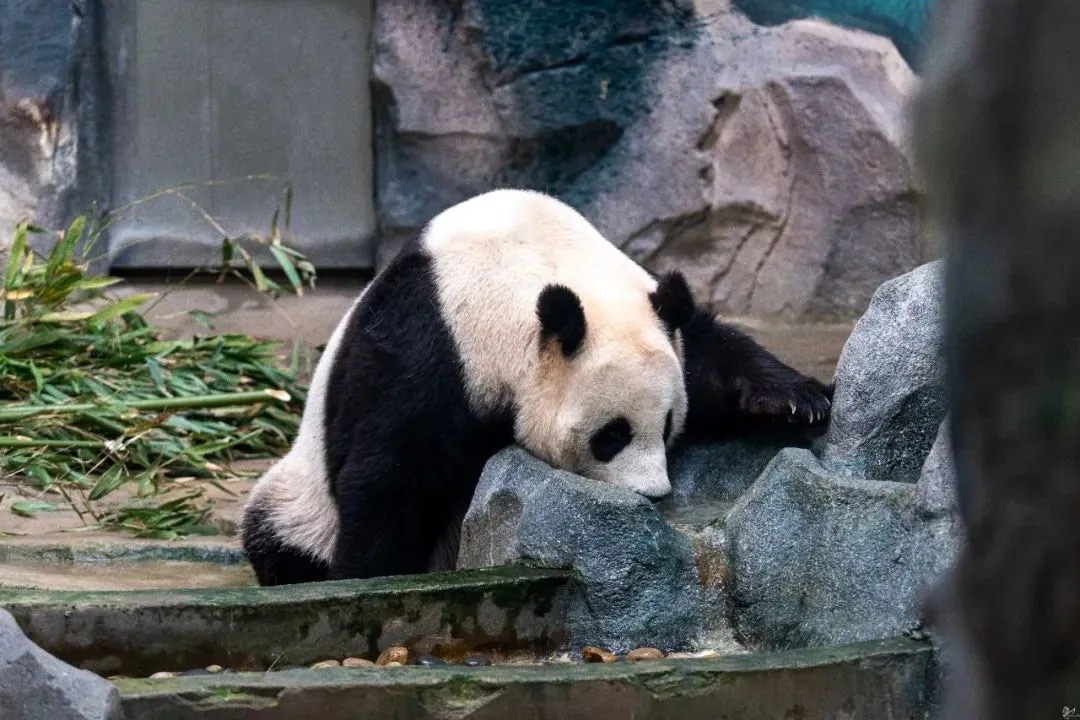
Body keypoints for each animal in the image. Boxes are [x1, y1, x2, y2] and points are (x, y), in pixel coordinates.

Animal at [240, 188, 832, 586]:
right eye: (611, 436)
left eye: (667, 427)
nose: (652, 495)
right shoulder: (429, 345)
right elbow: (389, 471)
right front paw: (368, 576)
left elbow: (708, 355)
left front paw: (796, 402)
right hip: (299, 498)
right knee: (274, 533)